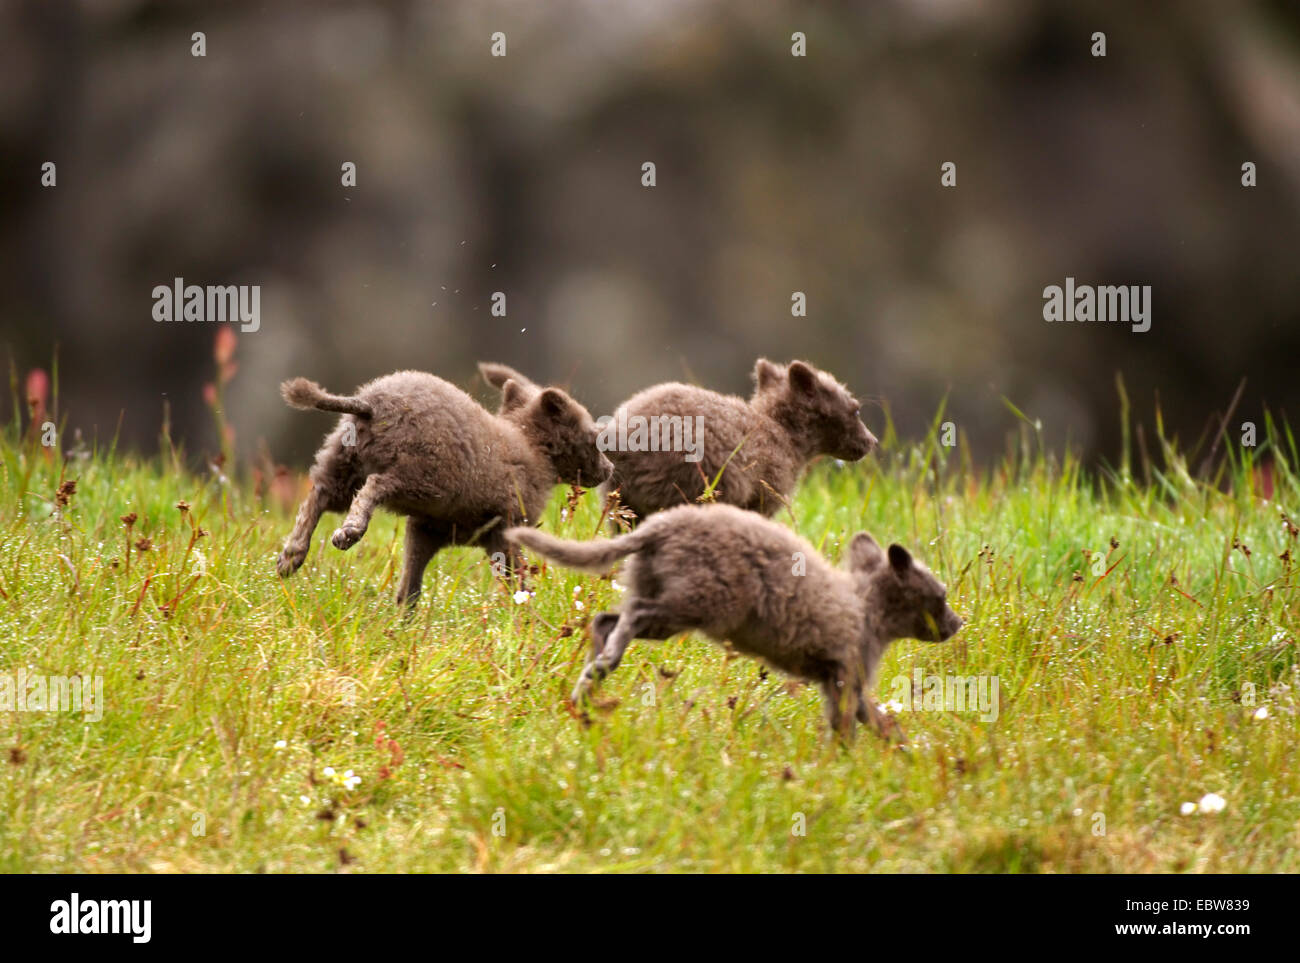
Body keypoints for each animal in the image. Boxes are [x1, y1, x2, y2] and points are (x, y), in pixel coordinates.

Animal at [277, 369, 613, 608]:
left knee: (319, 495)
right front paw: (527, 614)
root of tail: (370, 404)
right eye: (593, 437)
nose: (609, 469)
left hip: (345, 461)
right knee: (373, 486)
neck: (533, 448)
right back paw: (349, 532)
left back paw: (291, 556)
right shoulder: (506, 526)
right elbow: (515, 575)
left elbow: (411, 578)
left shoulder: (427, 527)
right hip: (421, 476)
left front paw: (404, 620)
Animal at [506, 502, 961, 740]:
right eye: (939, 597)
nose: (958, 623)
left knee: (605, 618)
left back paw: (590, 683)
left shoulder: (843, 677)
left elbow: (876, 719)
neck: (867, 611)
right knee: (629, 617)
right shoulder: (846, 671)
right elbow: (849, 721)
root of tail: (660, 526)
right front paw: (849, 764)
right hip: (697, 603)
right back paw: (602, 667)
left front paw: (902, 753)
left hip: (661, 598)